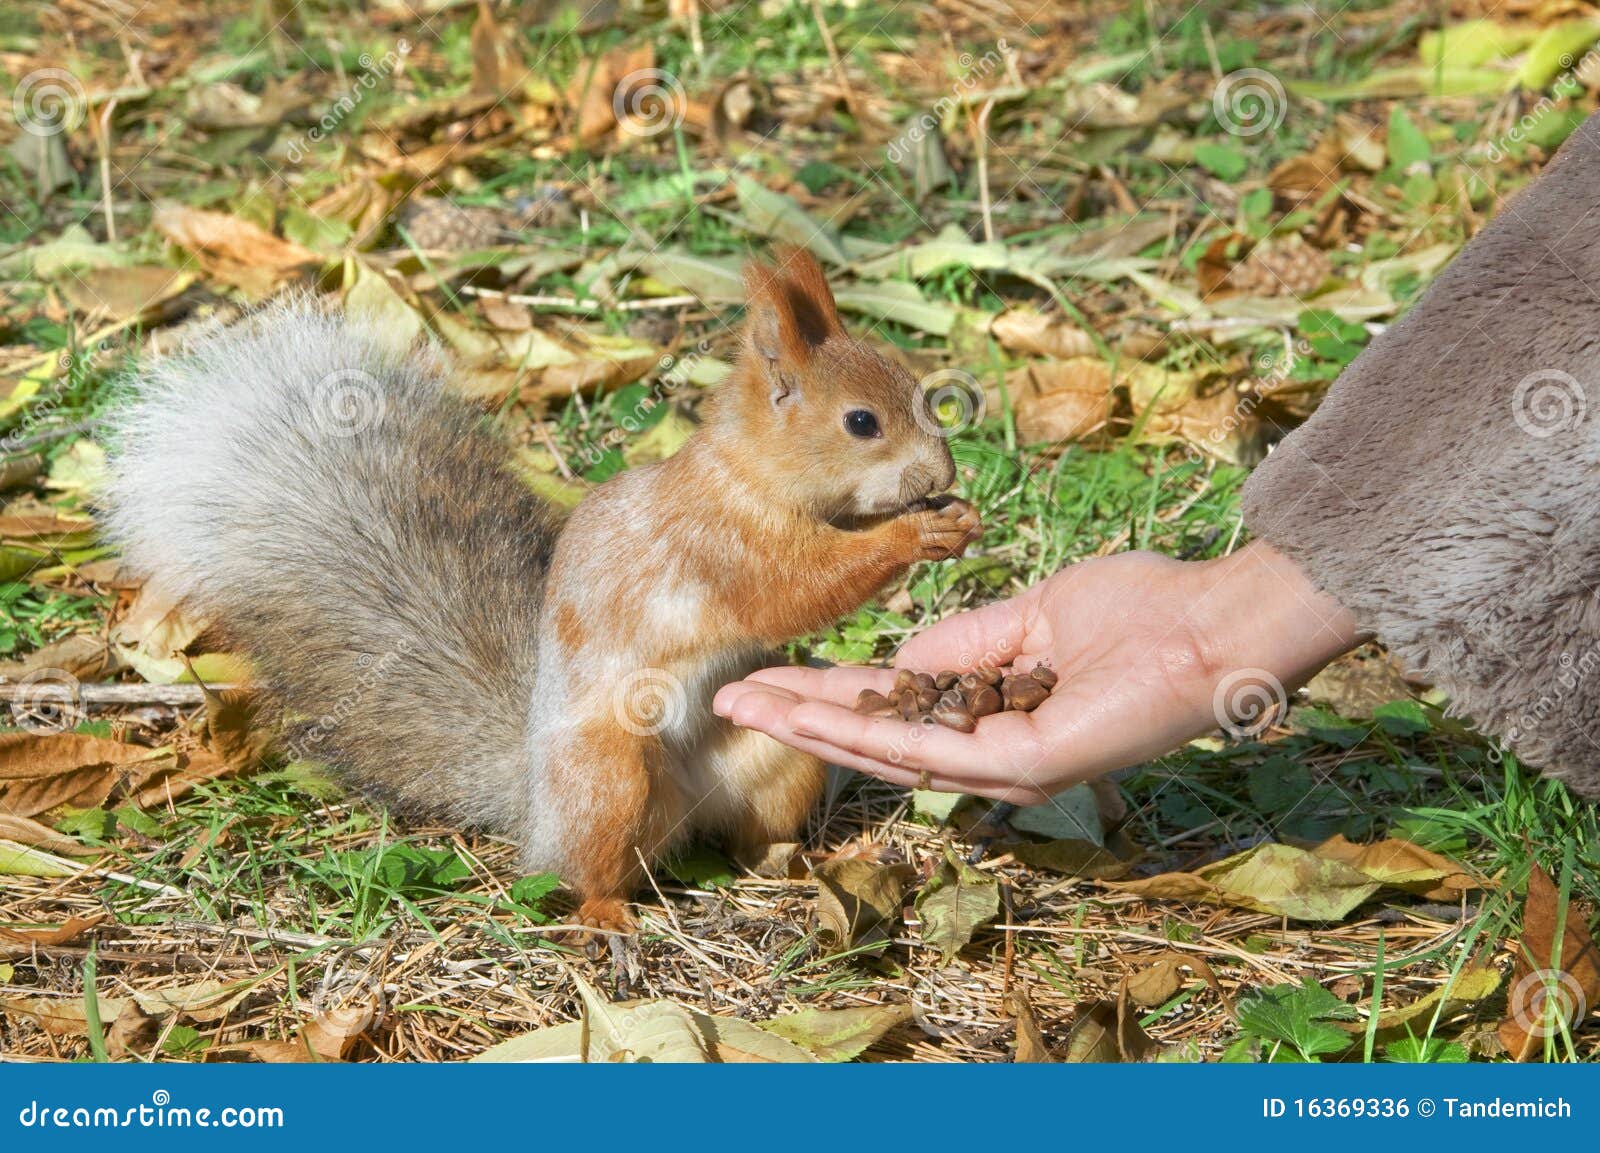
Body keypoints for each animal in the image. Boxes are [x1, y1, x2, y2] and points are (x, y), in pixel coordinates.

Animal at [103, 246, 981, 934]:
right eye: (862, 422)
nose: (945, 472)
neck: (750, 478)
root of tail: (533, 803)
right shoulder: (718, 547)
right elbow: (796, 589)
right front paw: (915, 536)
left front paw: (953, 518)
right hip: (610, 776)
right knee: (591, 868)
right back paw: (609, 914)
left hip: (771, 755)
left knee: (745, 840)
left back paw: (810, 857)